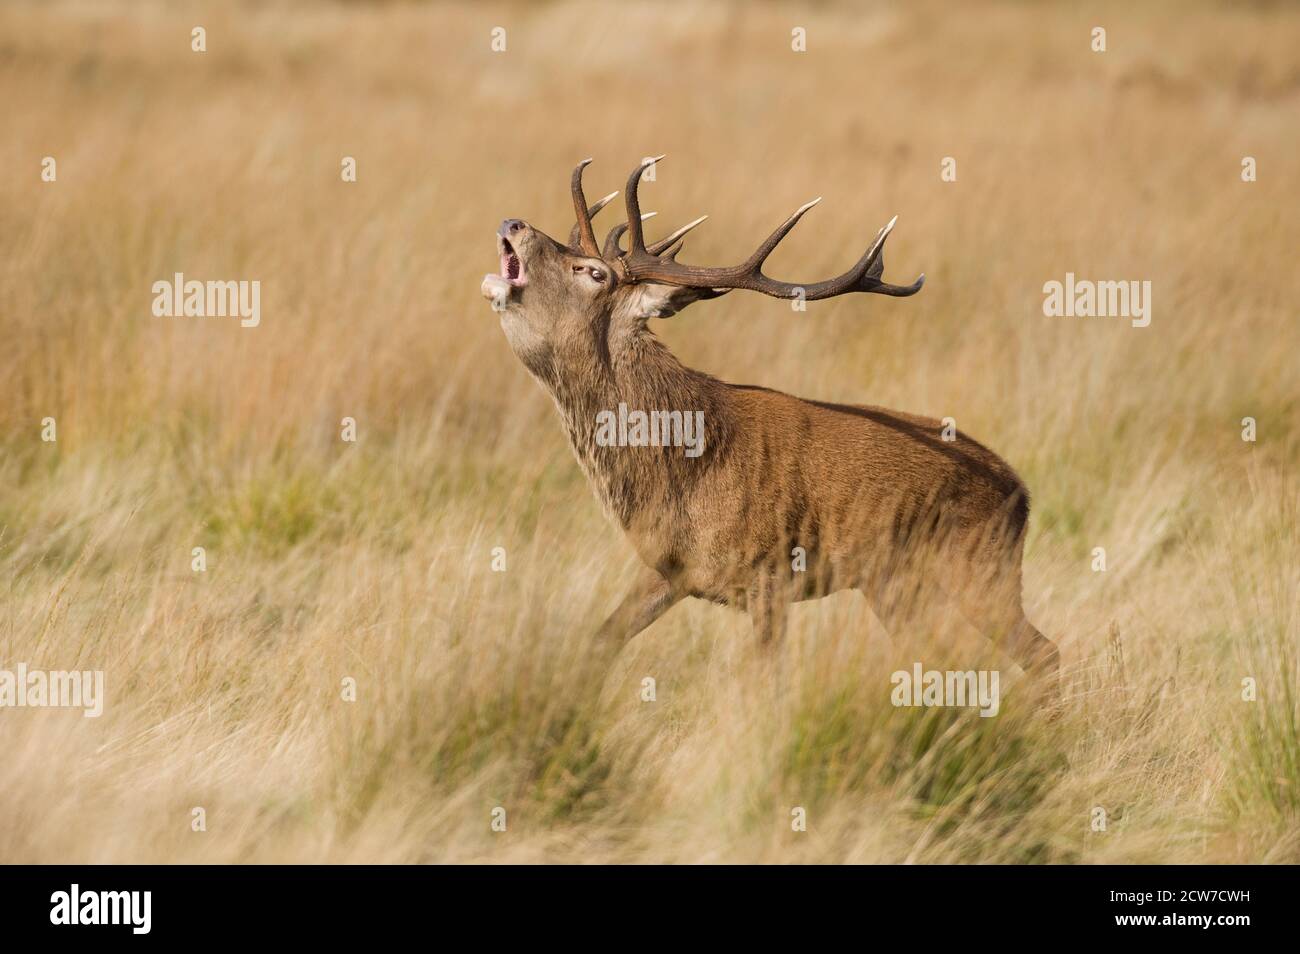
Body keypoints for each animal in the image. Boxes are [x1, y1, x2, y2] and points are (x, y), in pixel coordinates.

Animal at [480, 158, 1059, 691]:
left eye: (594, 272)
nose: (512, 222)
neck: (681, 471)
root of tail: (1023, 492)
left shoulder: (770, 571)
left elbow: (766, 682)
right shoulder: (668, 568)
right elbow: (599, 640)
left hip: (980, 568)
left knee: (1044, 654)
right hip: (895, 584)